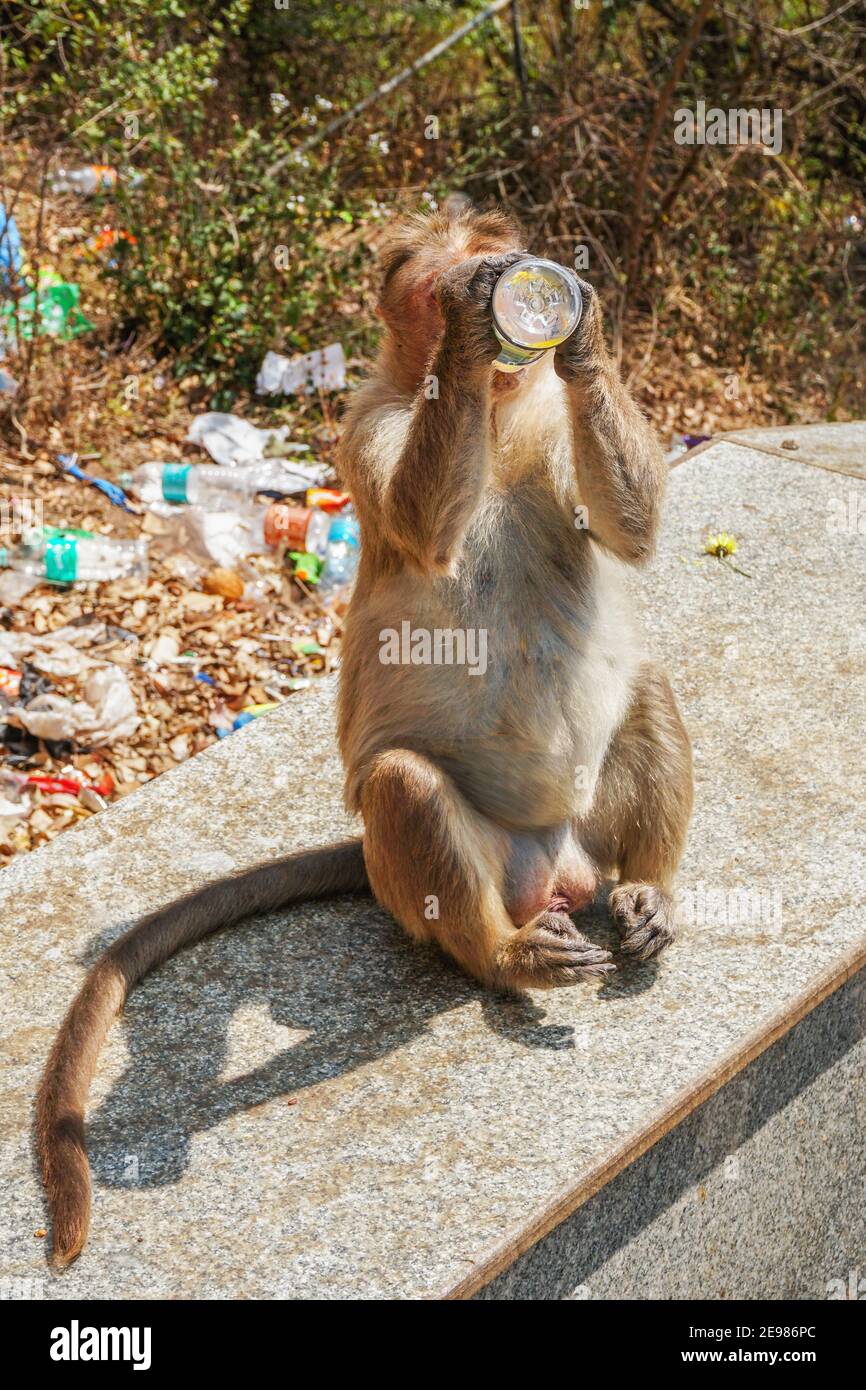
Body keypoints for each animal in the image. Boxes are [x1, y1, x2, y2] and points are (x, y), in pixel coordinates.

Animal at [37, 198, 692, 1267]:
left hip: (583, 830)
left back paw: (646, 891)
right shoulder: (367, 426)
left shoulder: (548, 421)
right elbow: (422, 525)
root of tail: (553, 868)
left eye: (497, 248)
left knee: (645, 690)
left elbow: (628, 529)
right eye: (438, 281)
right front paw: (477, 328)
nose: (502, 285)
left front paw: (581, 325)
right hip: (458, 878)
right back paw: (504, 957)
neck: (499, 419)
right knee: (405, 787)